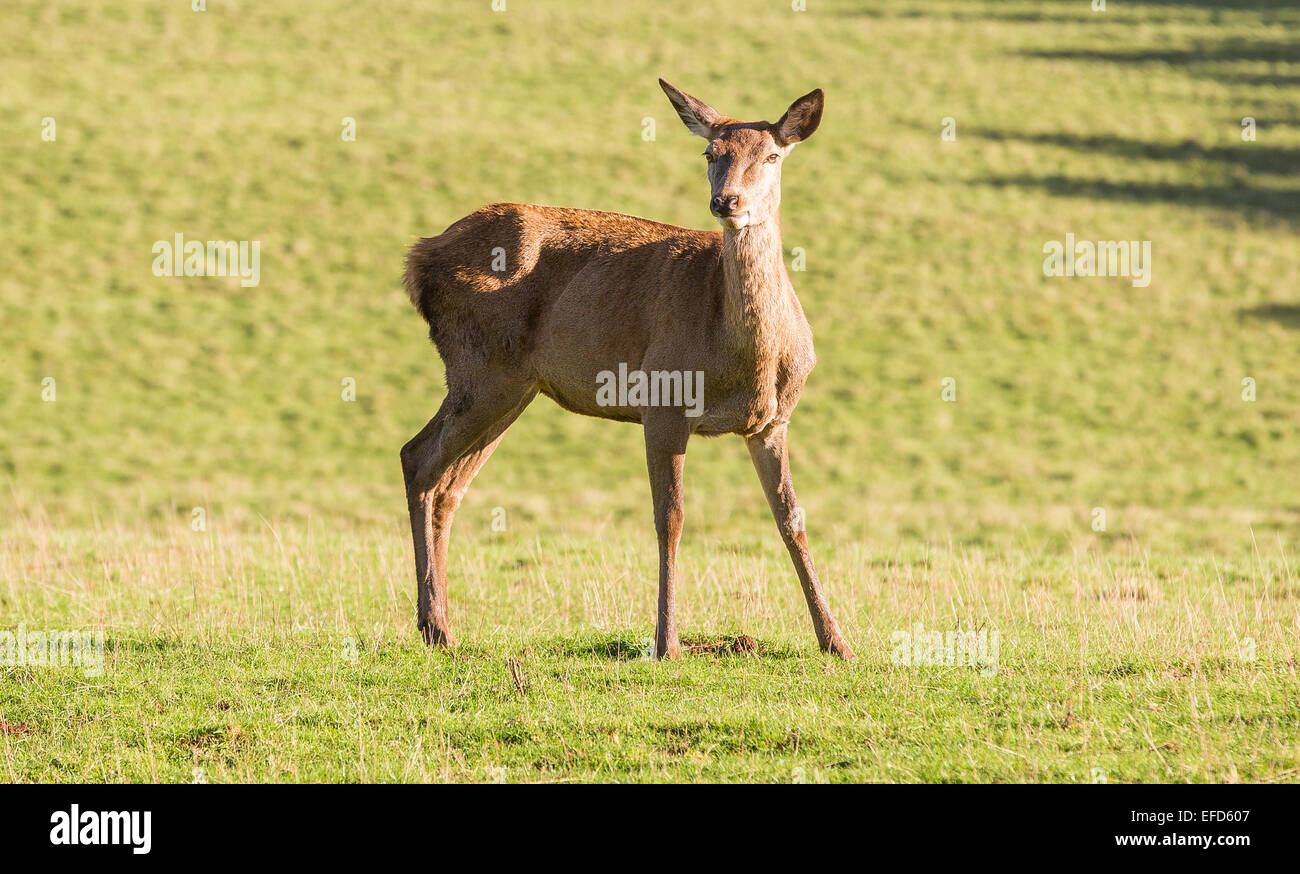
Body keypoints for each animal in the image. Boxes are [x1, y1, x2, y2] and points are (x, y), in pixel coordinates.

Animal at [400, 79, 855, 660]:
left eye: (772, 155)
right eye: (711, 153)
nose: (726, 201)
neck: (745, 361)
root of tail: (418, 262)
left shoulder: (773, 421)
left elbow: (792, 519)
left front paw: (836, 641)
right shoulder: (662, 399)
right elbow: (672, 517)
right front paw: (667, 642)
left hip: (512, 386)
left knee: (447, 482)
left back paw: (438, 623)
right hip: (480, 367)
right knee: (420, 460)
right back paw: (436, 625)